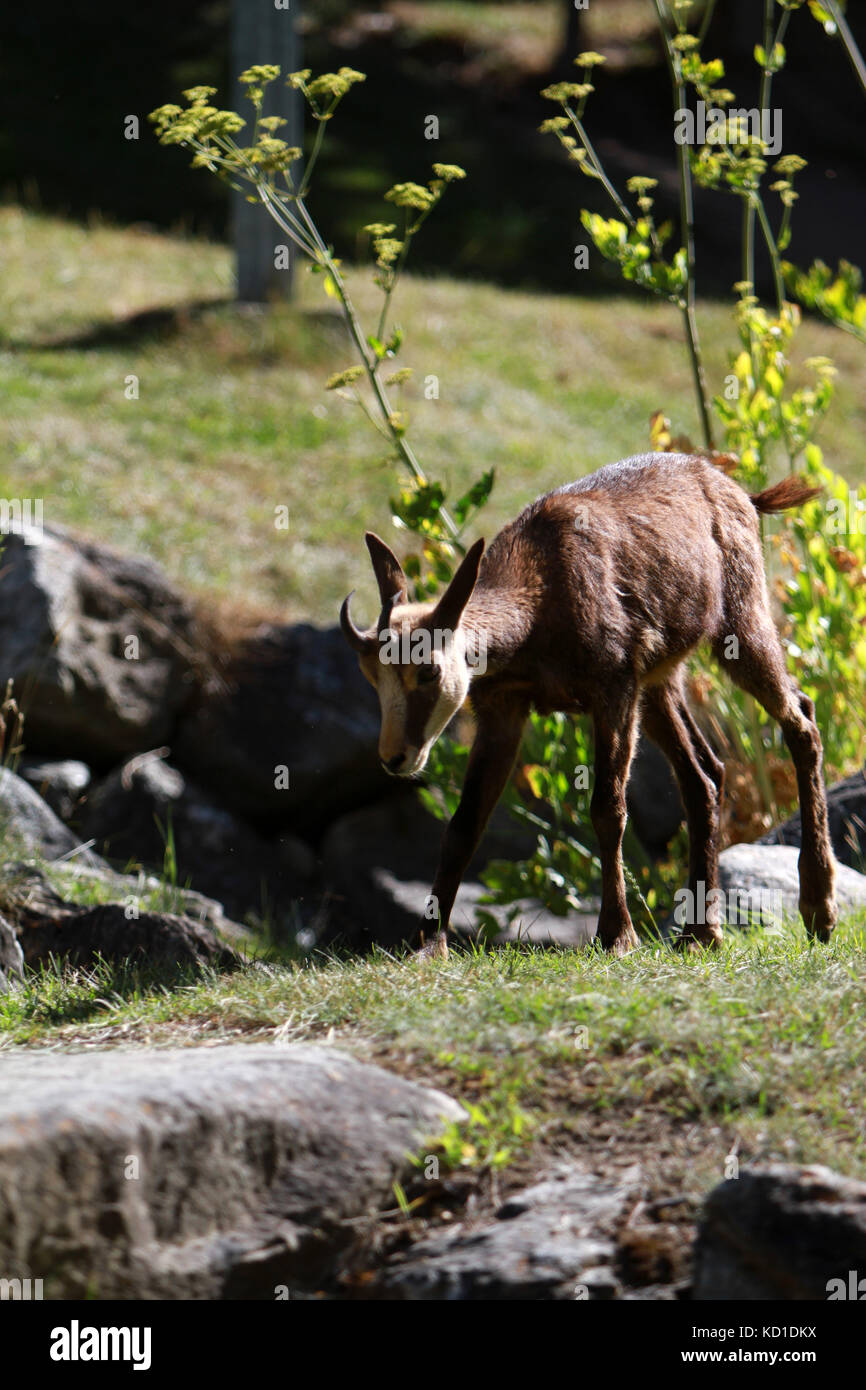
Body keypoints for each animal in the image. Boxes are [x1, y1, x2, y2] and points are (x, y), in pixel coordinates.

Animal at [340, 452, 837, 960]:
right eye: (371, 676)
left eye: (428, 672)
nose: (395, 758)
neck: (542, 595)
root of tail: (742, 494)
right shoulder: (504, 709)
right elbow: (464, 824)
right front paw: (426, 943)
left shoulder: (612, 688)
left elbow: (607, 809)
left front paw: (616, 934)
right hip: (658, 683)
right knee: (705, 774)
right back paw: (701, 933)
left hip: (740, 622)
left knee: (801, 717)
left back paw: (818, 911)